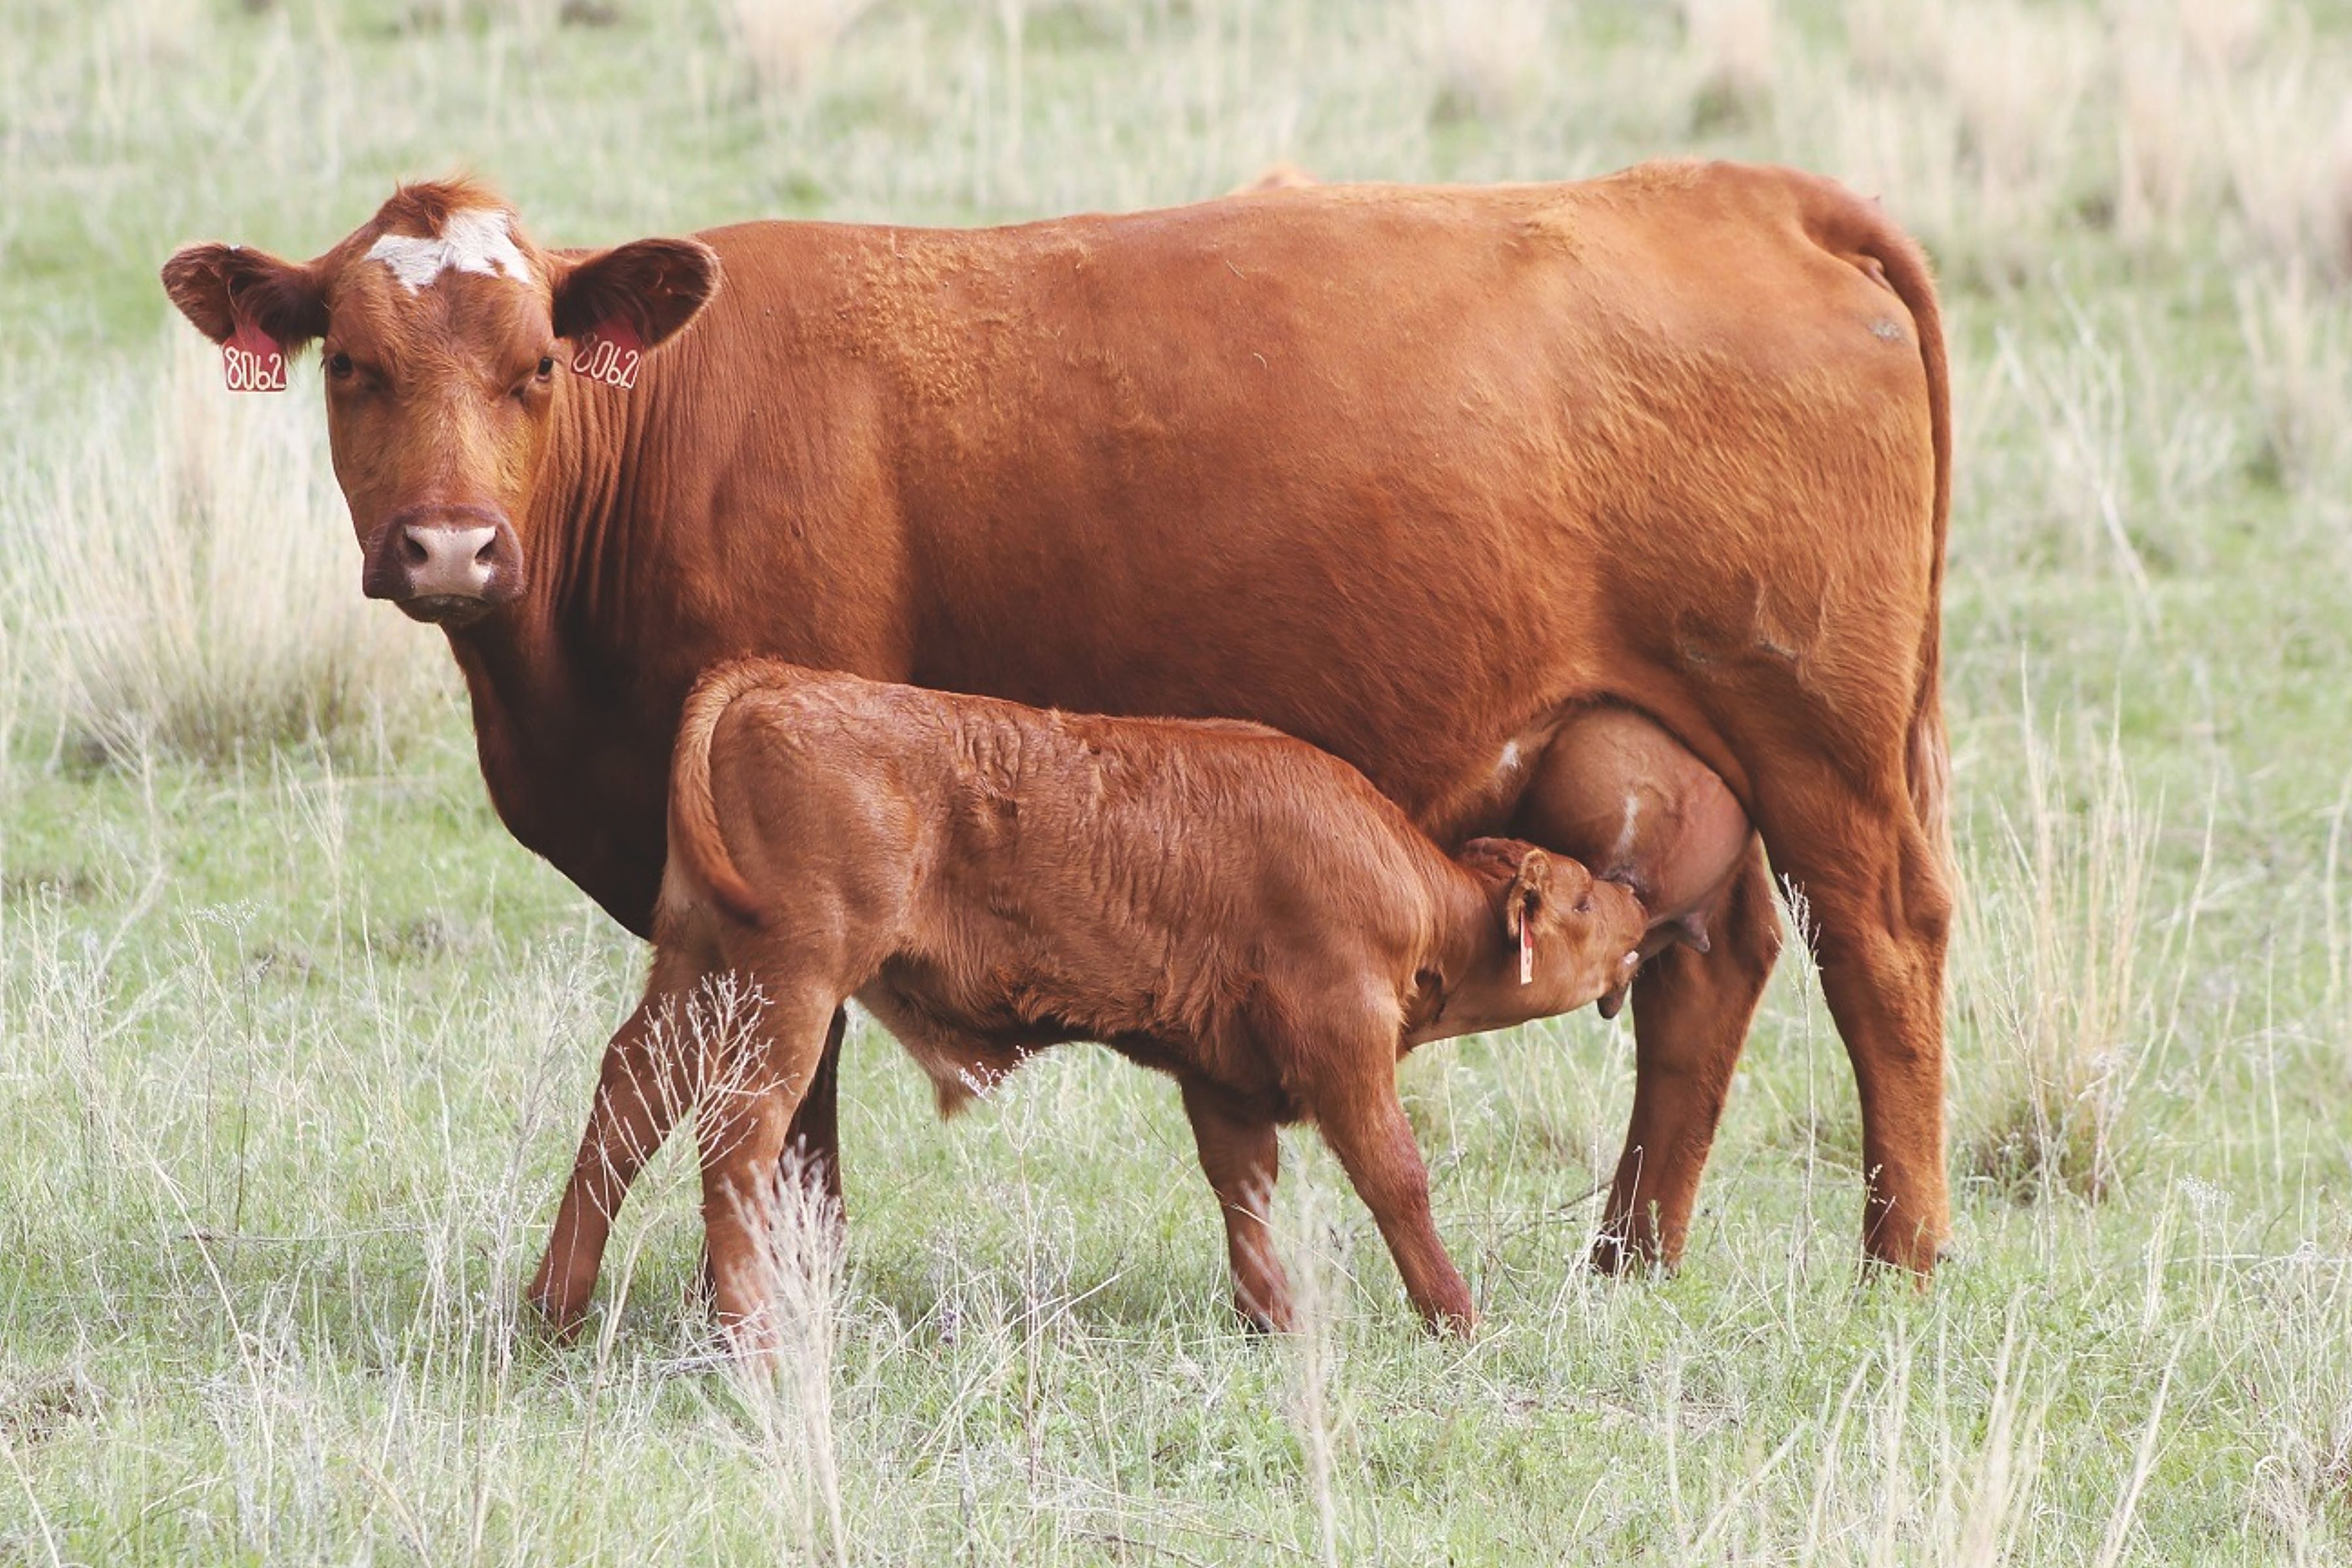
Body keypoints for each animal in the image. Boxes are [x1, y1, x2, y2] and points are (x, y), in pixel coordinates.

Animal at [534, 661, 1650, 1344]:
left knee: (628, 1102)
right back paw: (751, 1339)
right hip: (789, 990)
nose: (1640, 899)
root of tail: (780, 680)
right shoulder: (1345, 1049)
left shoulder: (1223, 1076)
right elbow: (1398, 1179)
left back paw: (554, 1311)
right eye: (1579, 897)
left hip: (697, 973)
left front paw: (1273, 1320)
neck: (1410, 886)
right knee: (739, 1135)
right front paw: (1457, 1319)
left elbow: (1246, 1191)